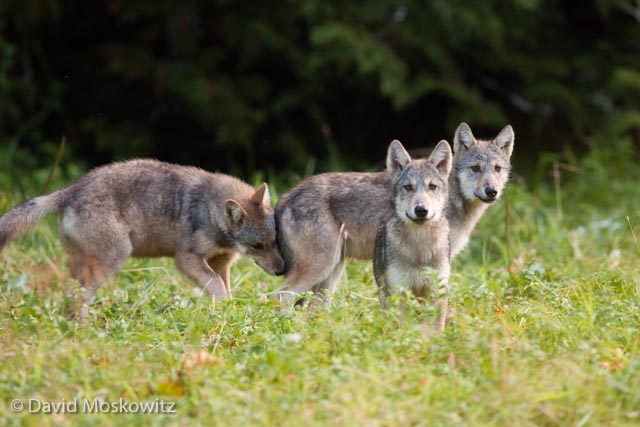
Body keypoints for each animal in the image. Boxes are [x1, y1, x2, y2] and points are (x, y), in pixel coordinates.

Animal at [0, 159, 285, 320]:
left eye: (275, 241)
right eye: (257, 246)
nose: (282, 270)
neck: (209, 209)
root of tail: (69, 191)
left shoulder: (220, 264)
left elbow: (225, 290)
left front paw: (229, 313)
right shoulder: (186, 259)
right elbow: (217, 288)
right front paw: (223, 314)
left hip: (84, 265)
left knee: (70, 295)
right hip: (113, 260)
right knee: (79, 296)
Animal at [373, 140, 452, 332]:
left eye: (432, 186)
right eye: (408, 187)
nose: (421, 210)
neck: (419, 249)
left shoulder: (436, 291)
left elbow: (436, 328)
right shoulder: (399, 291)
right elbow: (402, 329)